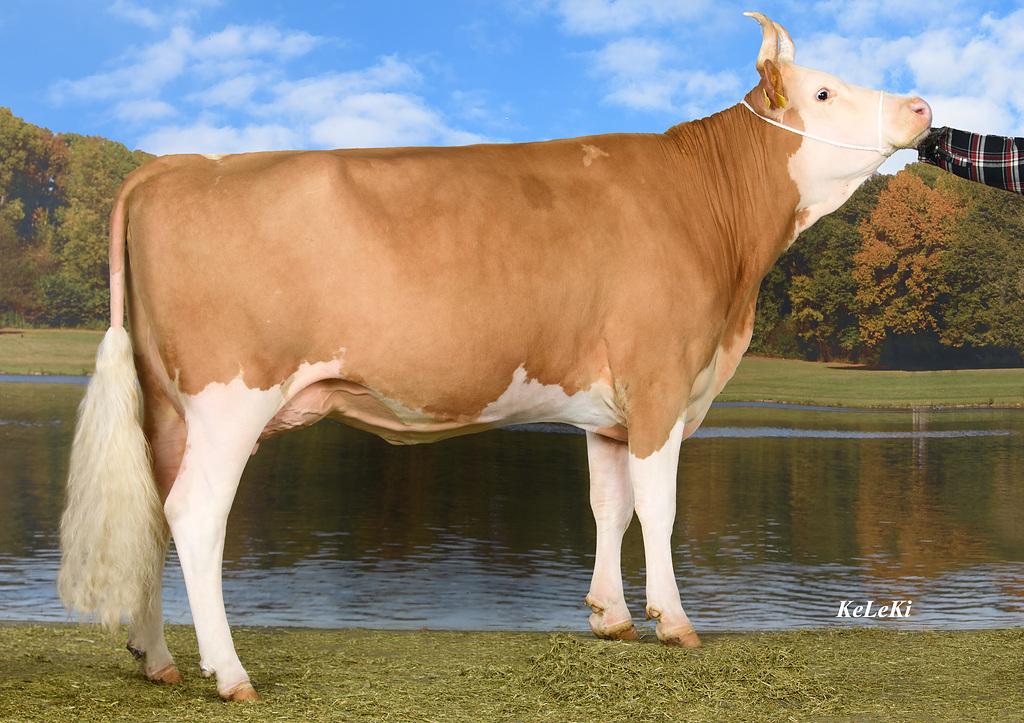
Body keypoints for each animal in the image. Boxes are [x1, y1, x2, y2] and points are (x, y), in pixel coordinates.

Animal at [57, 12, 932, 701]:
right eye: (824, 92)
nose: (921, 105)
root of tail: (175, 164)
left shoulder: (610, 408)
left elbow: (608, 504)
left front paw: (611, 616)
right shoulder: (660, 381)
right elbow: (658, 506)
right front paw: (675, 620)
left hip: (168, 405)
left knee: (152, 505)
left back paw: (157, 657)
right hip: (229, 398)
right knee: (195, 514)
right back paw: (230, 672)